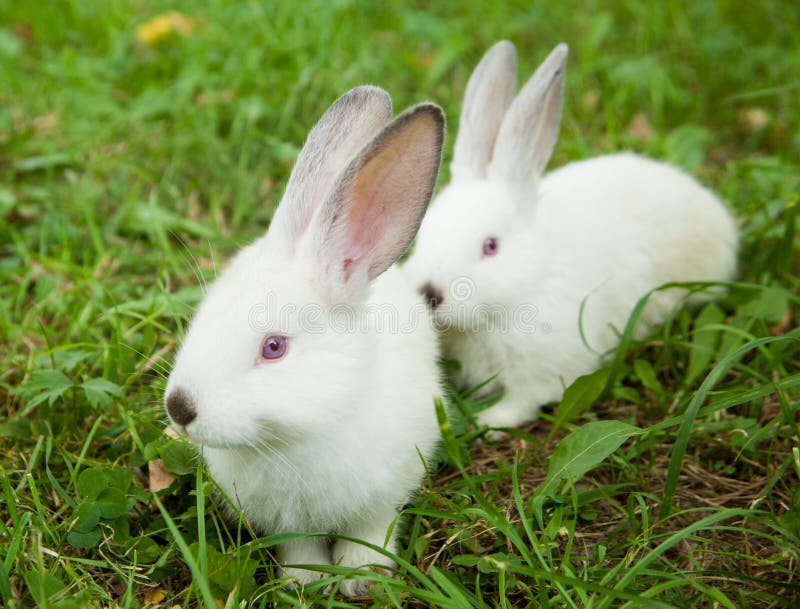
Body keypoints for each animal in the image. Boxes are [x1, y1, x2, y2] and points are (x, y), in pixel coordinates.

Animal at [163, 85, 445, 597]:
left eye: (274, 347)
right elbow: (301, 547)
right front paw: (304, 582)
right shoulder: (287, 522)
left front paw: (362, 578)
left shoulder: (385, 494)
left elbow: (371, 533)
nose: (180, 408)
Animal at [403, 41, 738, 432]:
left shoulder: (543, 367)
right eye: (424, 235)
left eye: (490, 246)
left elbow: (523, 401)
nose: (429, 294)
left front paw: (491, 421)